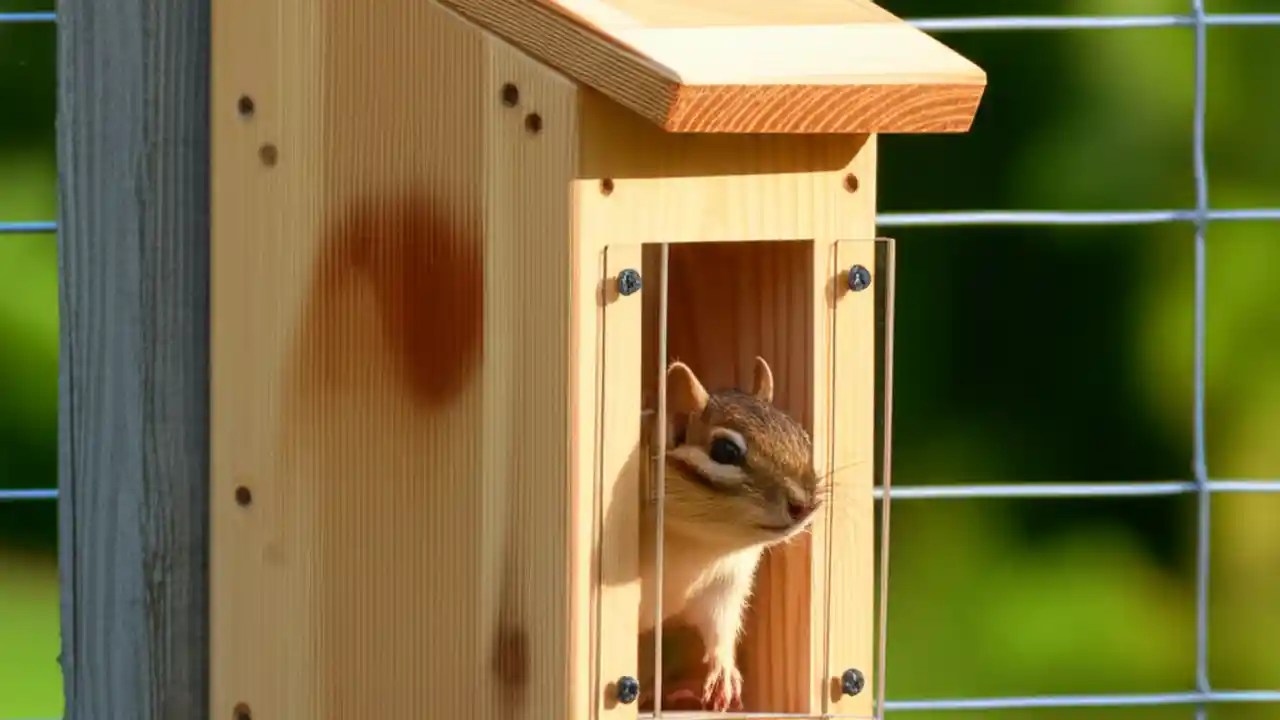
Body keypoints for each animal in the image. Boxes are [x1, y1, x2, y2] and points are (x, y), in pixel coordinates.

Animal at [637, 356, 823, 712]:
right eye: (725, 451)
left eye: (803, 438)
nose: (805, 505)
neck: (703, 544)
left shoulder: (726, 583)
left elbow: (719, 626)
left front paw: (723, 672)